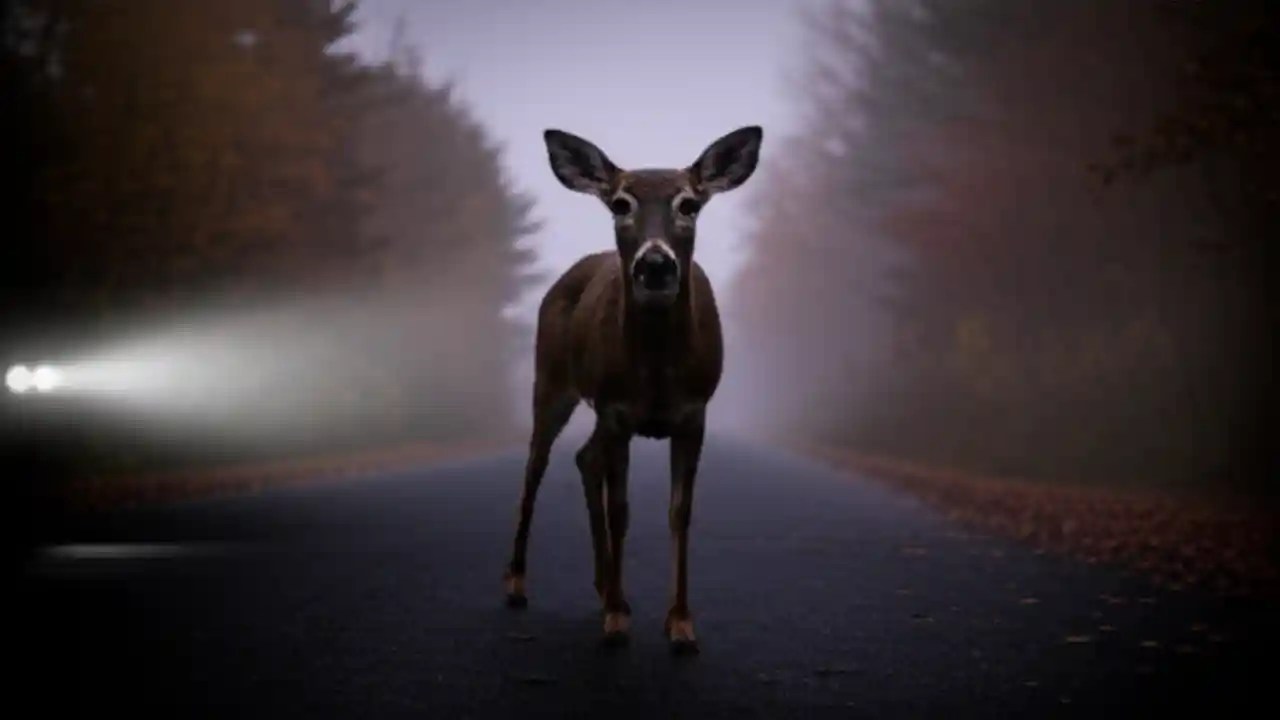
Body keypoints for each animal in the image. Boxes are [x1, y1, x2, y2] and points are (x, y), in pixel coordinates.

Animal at [502, 125, 763, 654]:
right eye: (621, 203)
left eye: (690, 204)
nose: (656, 264)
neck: (658, 373)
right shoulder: (617, 412)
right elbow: (620, 509)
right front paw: (618, 621)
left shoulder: (694, 414)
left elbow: (680, 511)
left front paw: (680, 624)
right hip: (551, 380)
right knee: (536, 466)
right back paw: (519, 583)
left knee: (584, 458)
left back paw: (605, 586)